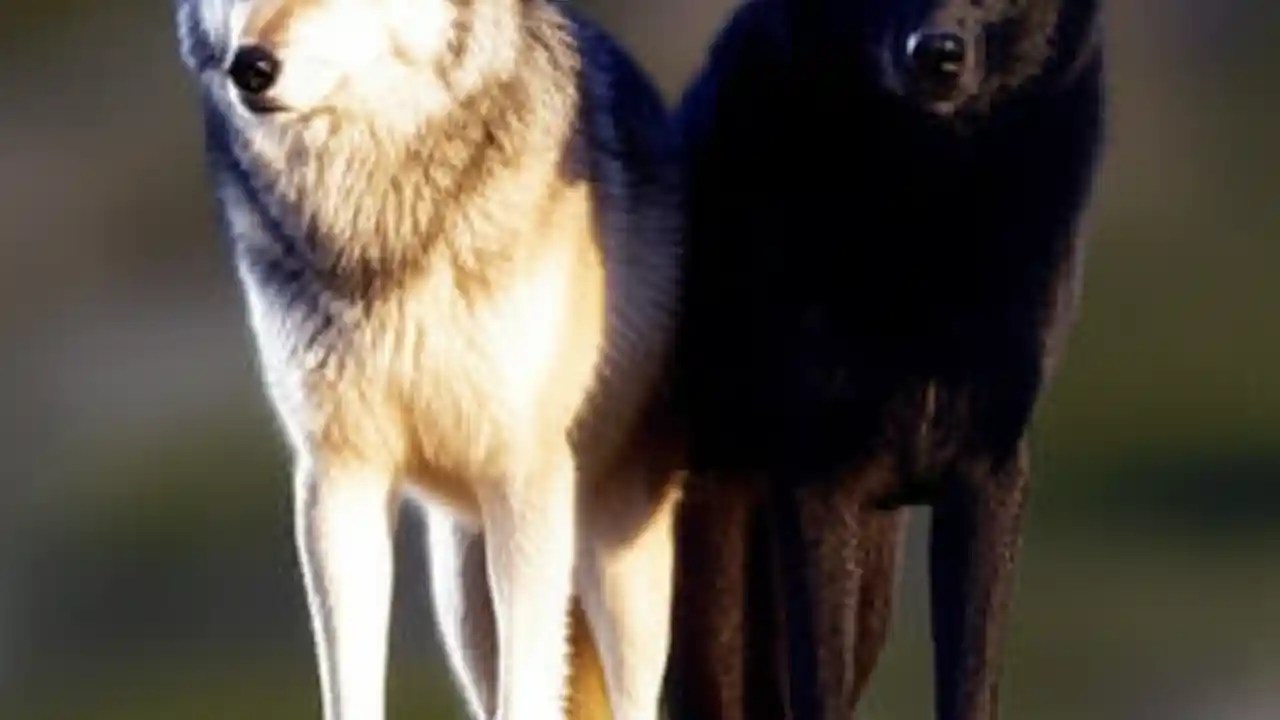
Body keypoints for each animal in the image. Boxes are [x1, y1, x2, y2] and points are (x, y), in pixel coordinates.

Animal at [171, 1, 684, 719]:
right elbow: (350, 689)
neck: (379, 237)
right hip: (465, 603)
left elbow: (528, 693)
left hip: (618, 575)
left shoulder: (525, 472)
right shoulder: (339, 475)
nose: (250, 67)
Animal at [665, 1, 1106, 719]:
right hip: (708, 607)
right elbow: (820, 687)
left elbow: (971, 683)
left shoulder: (989, 476)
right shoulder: (820, 484)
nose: (937, 55)